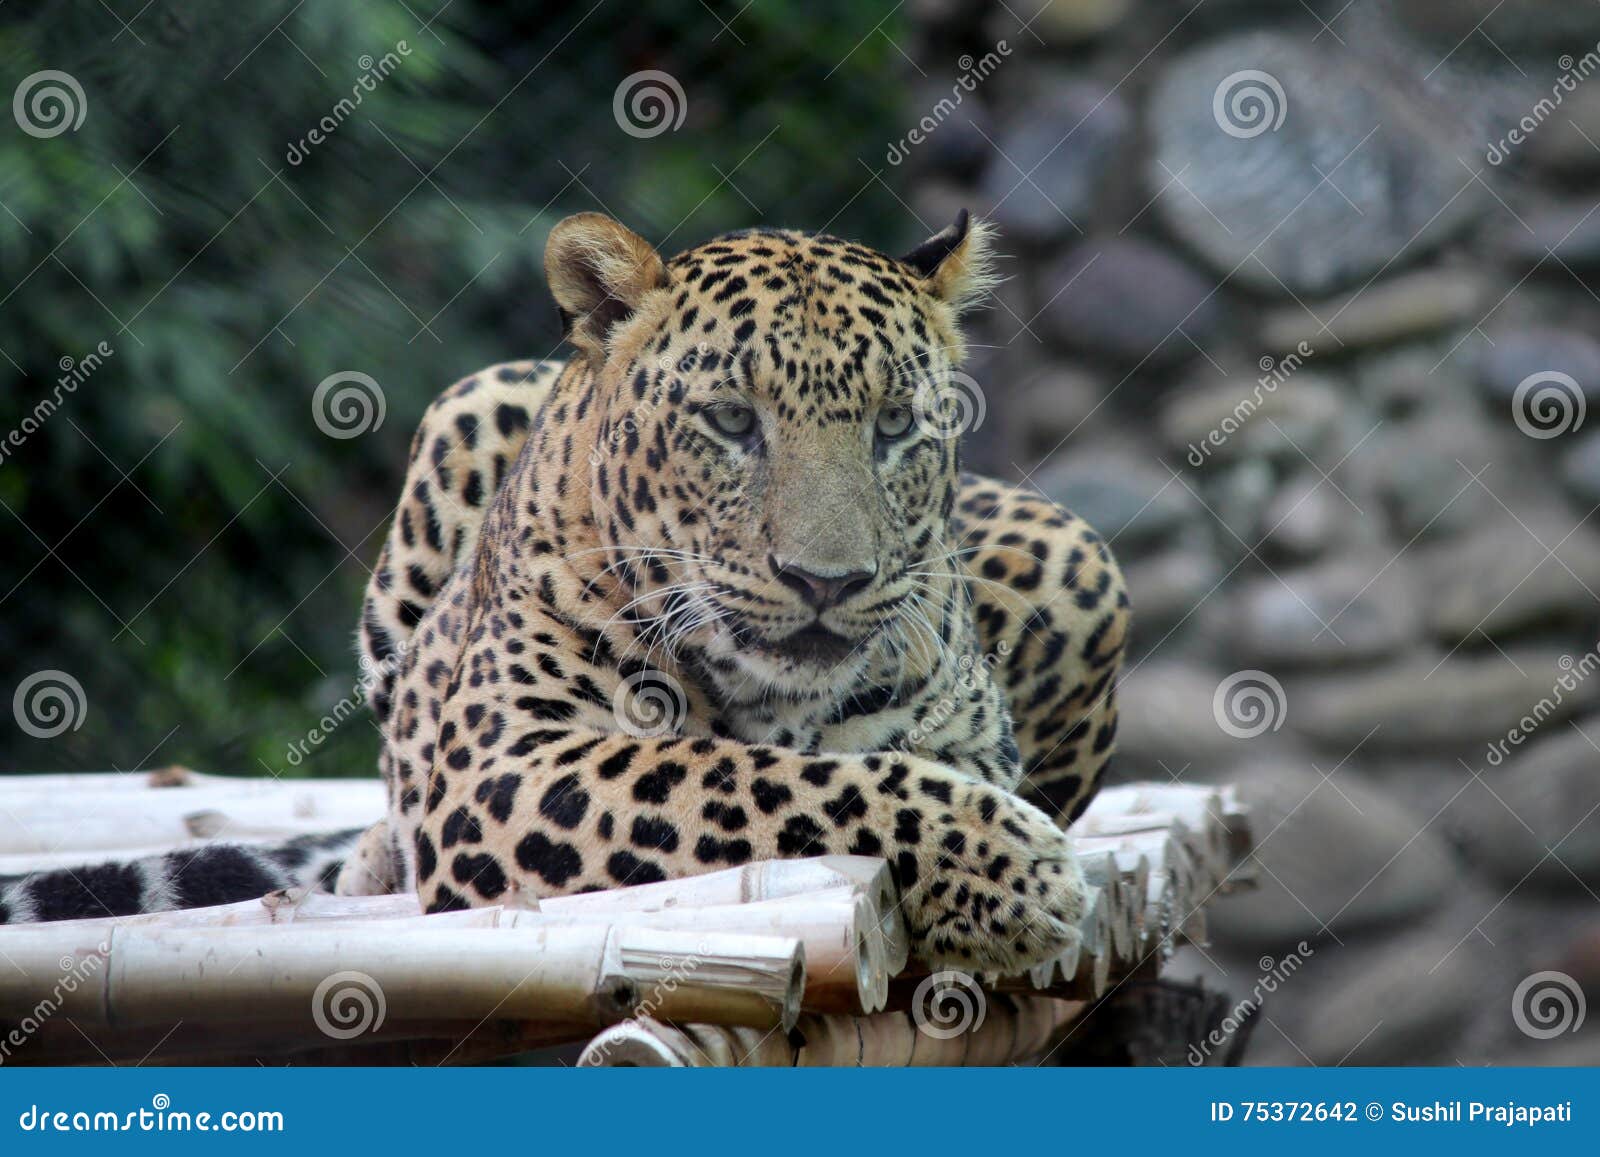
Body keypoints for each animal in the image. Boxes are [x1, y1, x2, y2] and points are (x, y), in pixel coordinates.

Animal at [0, 212, 1127, 977]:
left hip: (1081, 556)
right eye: (731, 420)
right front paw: (1013, 870)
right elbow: (764, 780)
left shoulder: (972, 745)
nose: (826, 581)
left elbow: (854, 768)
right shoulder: (507, 762)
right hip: (471, 405)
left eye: (895, 425)